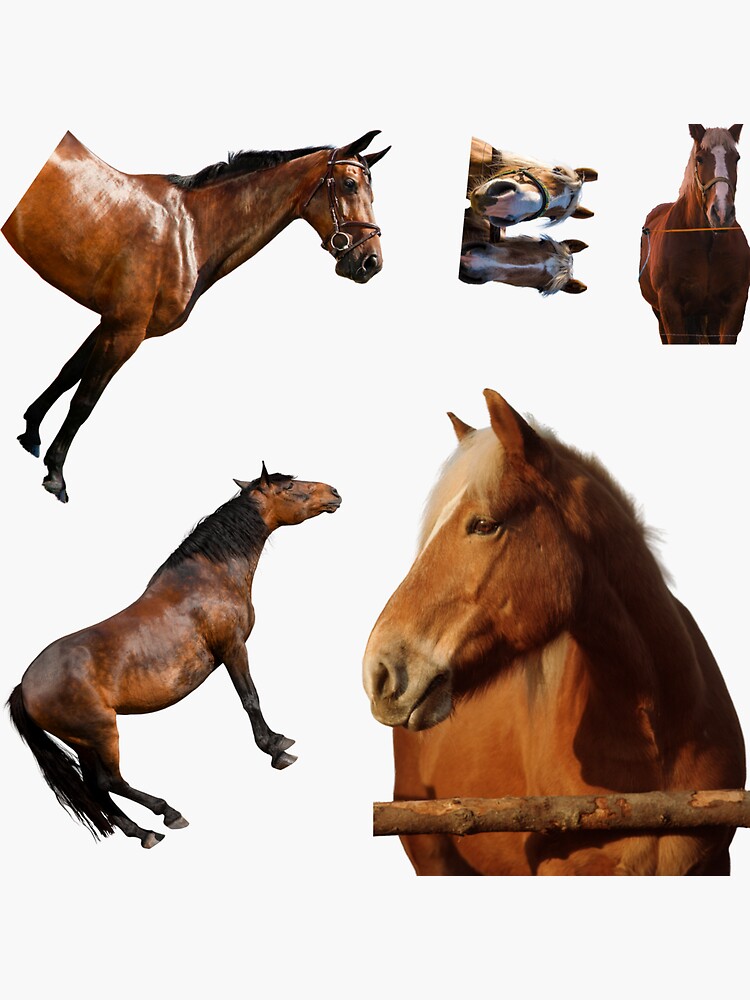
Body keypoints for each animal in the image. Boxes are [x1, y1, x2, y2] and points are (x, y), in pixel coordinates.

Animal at [2, 130, 389, 502]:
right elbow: (83, 401)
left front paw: (31, 433)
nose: (371, 262)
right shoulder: (125, 330)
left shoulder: (111, 322)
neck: (190, 230)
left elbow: (68, 373)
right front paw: (56, 475)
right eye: (349, 184)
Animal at [7, 466, 341, 847]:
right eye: (288, 486)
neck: (210, 576)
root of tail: (24, 686)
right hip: (102, 734)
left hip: (84, 743)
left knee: (97, 789)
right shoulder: (233, 648)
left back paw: (143, 832)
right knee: (109, 782)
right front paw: (276, 748)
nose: (334, 492)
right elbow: (250, 698)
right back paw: (168, 812)